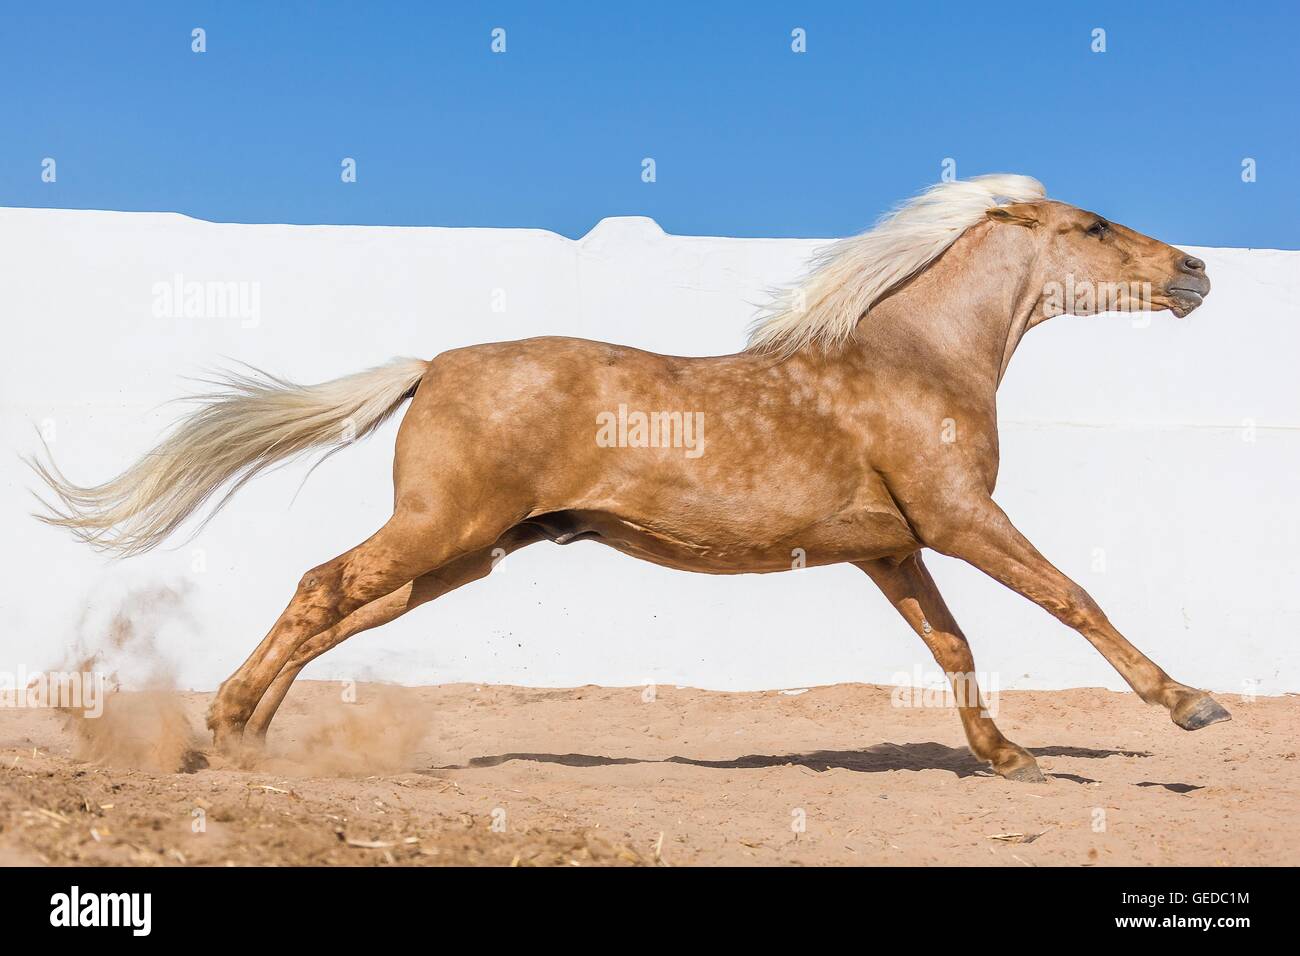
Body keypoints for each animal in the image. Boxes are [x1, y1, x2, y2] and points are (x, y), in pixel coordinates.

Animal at [31, 174, 1227, 780]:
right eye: (1092, 225)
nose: (1196, 270)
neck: (914, 357)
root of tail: (431, 366)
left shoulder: (891, 547)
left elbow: (952, 644)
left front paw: (1006, 754)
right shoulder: (960, 516)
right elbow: (1071, 596)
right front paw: (1188, 704)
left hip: (468, 552)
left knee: (341, 612)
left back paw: (251, 739)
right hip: (442, 528)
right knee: (321, 586)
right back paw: (227, 726)